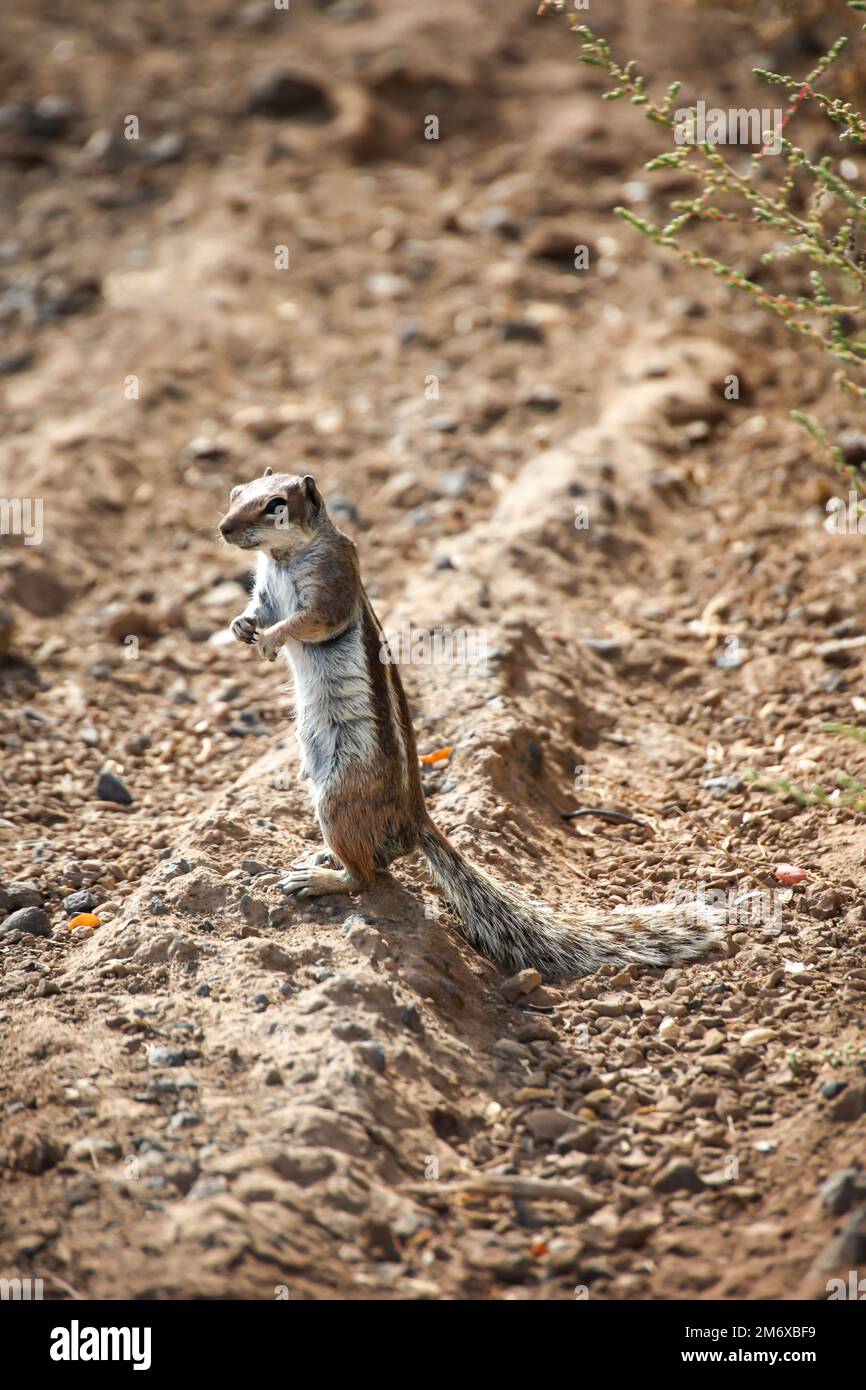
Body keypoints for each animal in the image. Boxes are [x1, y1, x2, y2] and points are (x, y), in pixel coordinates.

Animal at [219, 469, 723, 976]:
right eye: (236, 493)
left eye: (276, 505)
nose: (223, 529)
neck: (283, 557)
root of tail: (416, 817)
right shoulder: (266, 589)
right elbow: (261, 609)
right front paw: (242, 626)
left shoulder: (332, 583)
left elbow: (313, 619)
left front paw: (273, 638)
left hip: (340, 797)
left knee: (367, 876)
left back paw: (320, 877)